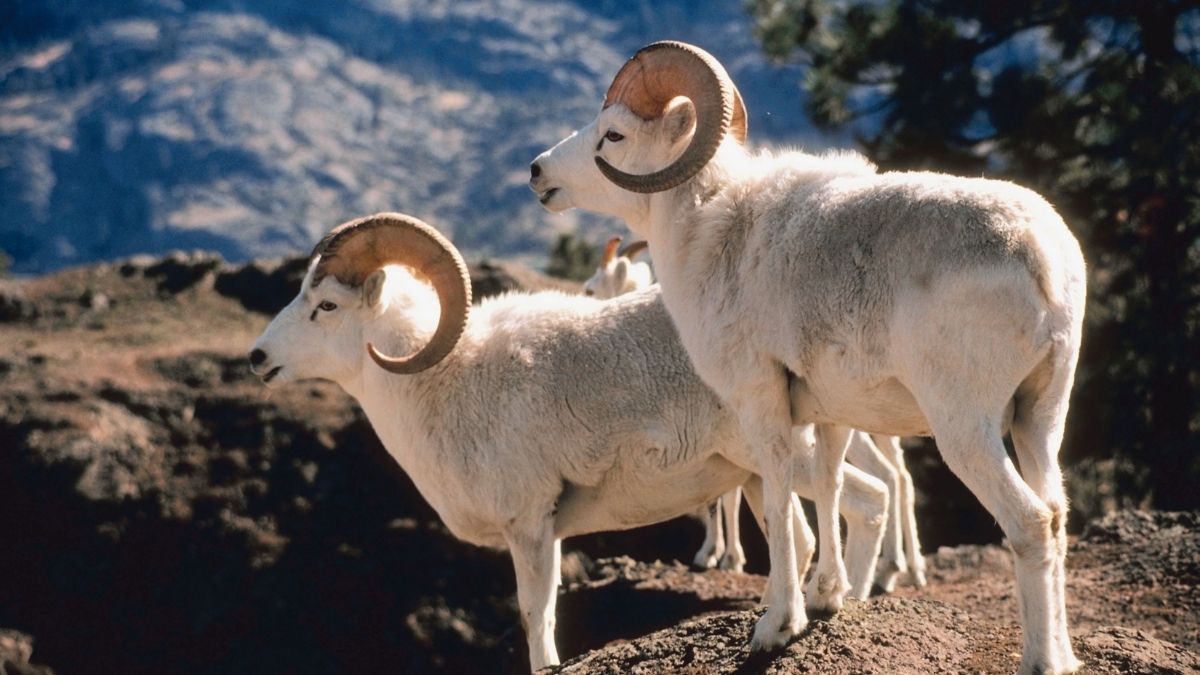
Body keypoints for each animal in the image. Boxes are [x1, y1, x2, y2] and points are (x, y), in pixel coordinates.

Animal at [586, 237, 922, 585]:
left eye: (590, 289)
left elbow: (723, 496)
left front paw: (719, 557)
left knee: (885, 474)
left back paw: (887, 571)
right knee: (897, 474)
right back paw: (907, 570)